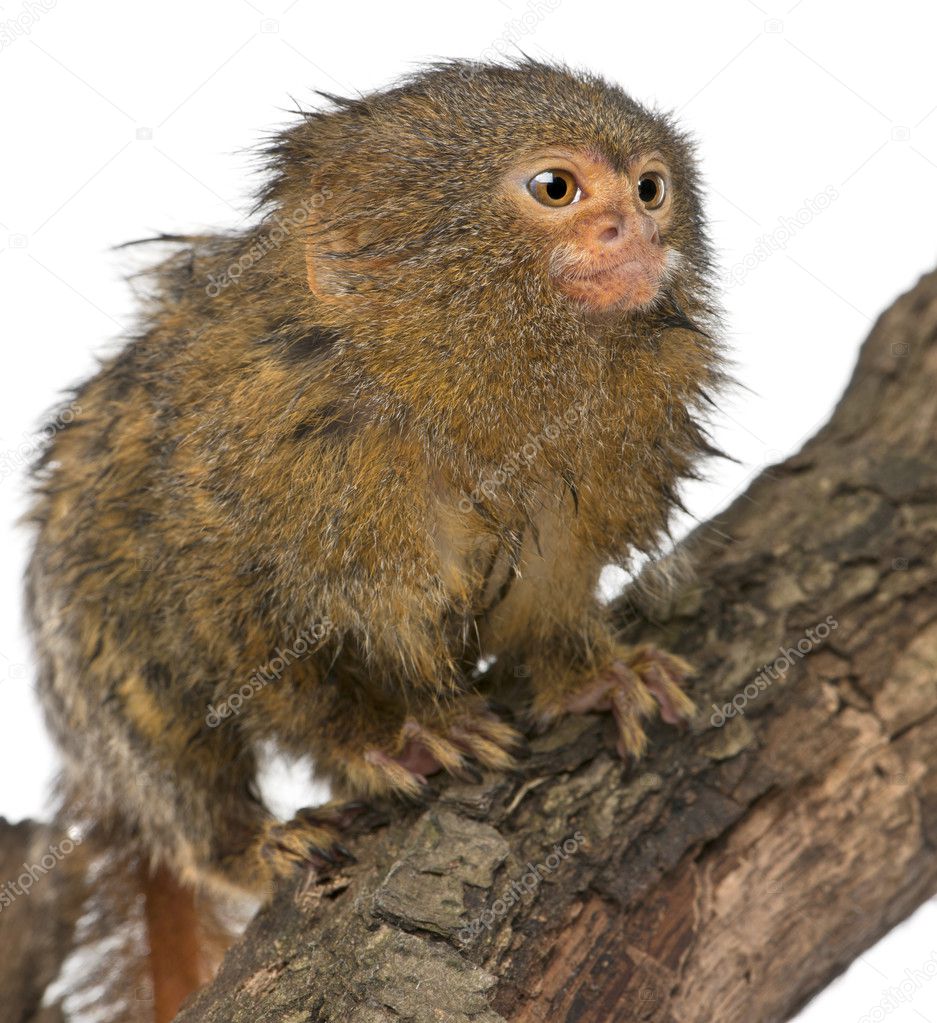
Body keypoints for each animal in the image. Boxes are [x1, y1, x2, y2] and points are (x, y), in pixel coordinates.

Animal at [25, 59, 723, 1020]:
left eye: (652, 188)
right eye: (556, 188)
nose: (636, 229)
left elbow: (550, 598)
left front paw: (594, 674)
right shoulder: (243, 489)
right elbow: (256, 651)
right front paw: (388, 736)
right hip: (79, 646)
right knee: (158, 737)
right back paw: (248, 844)